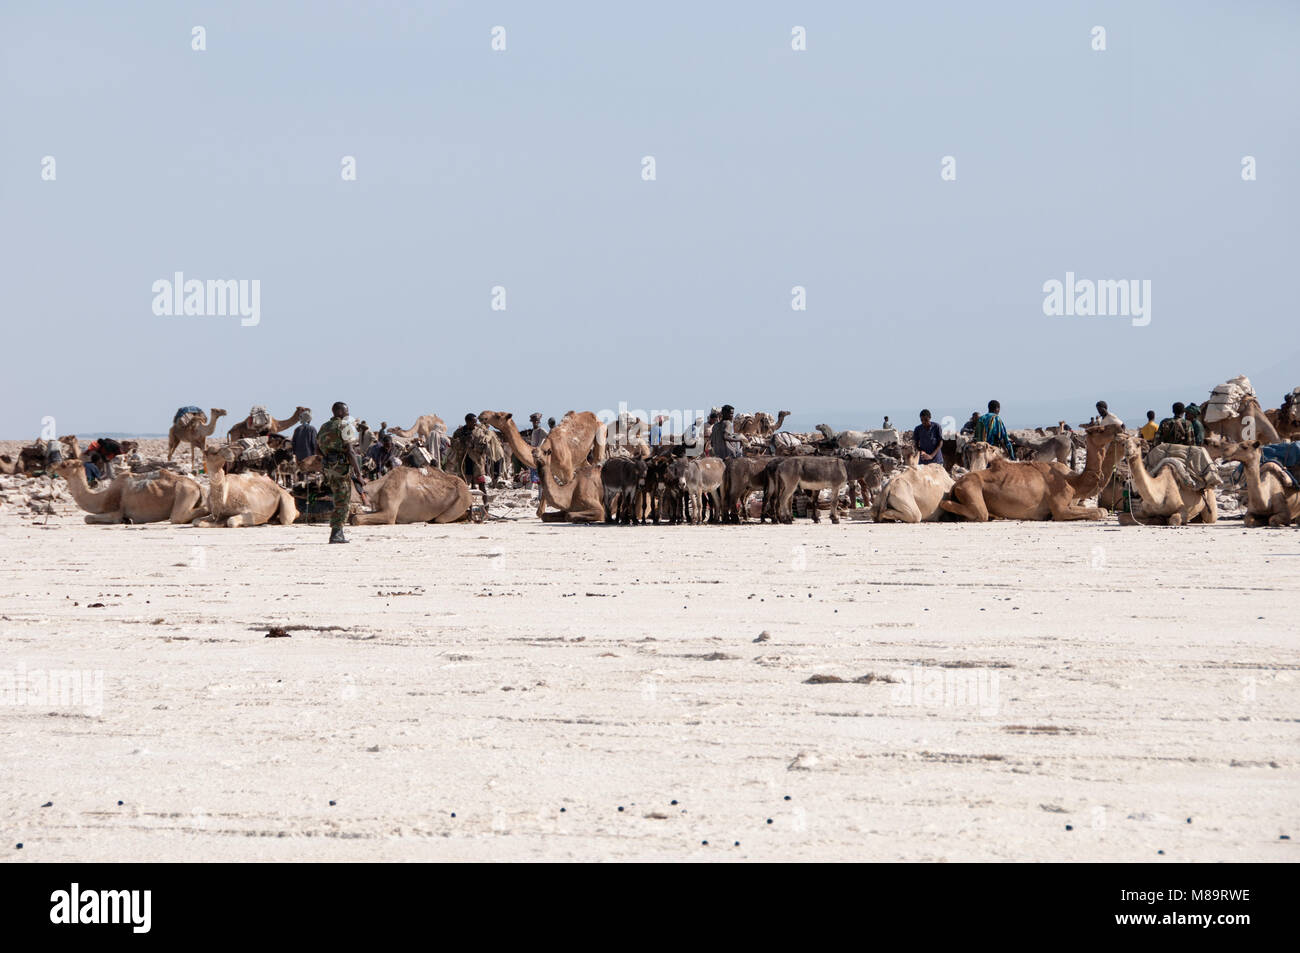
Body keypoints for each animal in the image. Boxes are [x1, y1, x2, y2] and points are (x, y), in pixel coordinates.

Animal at [55, 459, 207, 524]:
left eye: (65, 464)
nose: (52, 465)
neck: (101, 498)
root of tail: (198, 486)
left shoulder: (116, 512)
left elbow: (87, 518)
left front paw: (126, 521)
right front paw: (128, 520)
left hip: (185, 491)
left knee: (178, 517)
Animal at [940, 424, 1121, 522]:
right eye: (1100, 429)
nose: (1121, 426)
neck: (1073, 482)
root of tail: (956, 484)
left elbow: (1101, 510)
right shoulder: (1060, 508)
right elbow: (1099, 511)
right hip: (970, 489)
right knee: (963, 508)